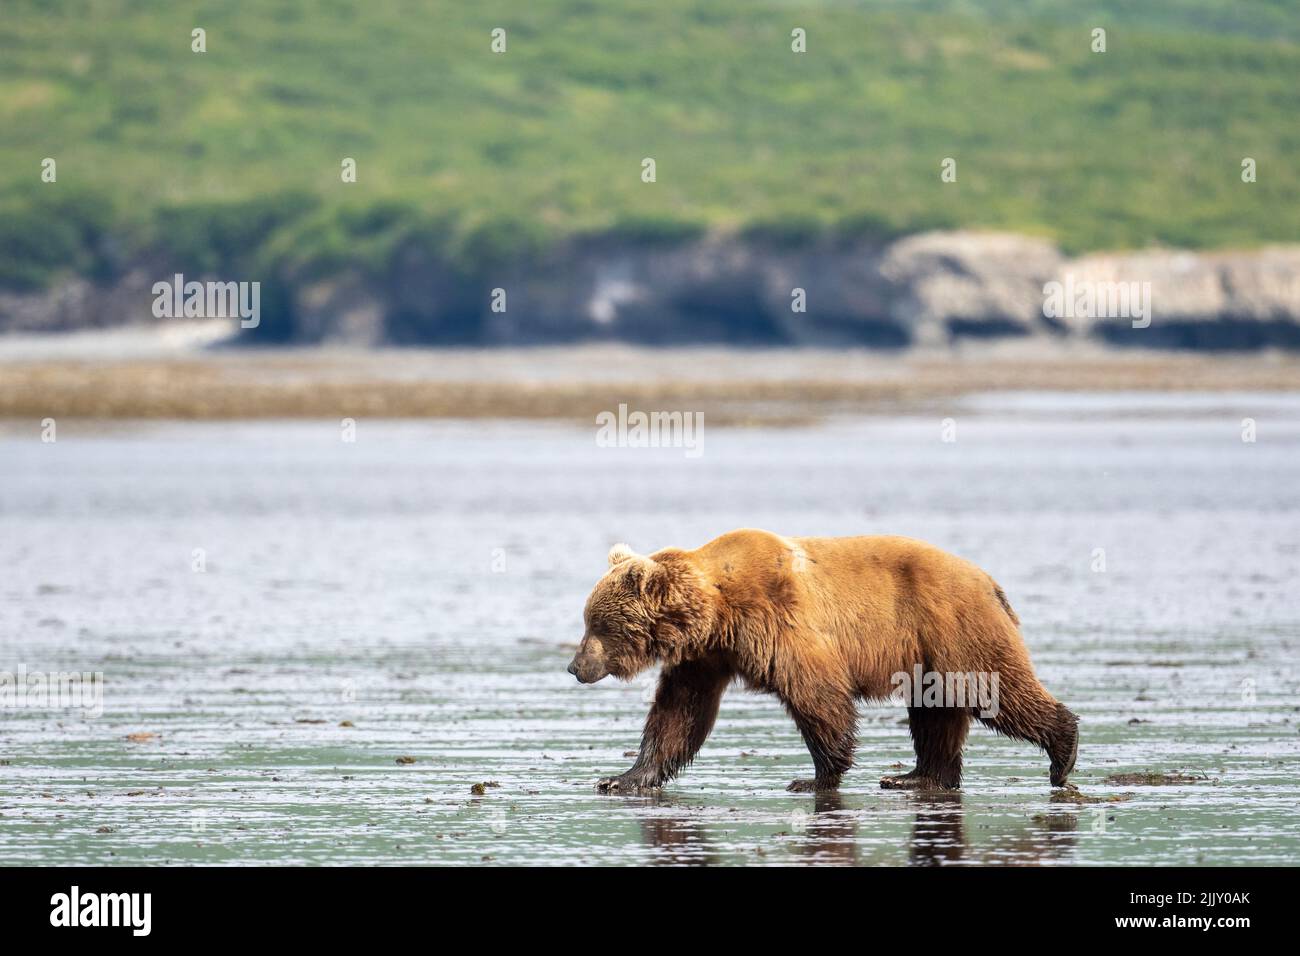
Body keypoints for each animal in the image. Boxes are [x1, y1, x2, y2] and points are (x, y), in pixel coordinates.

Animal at [567, 529, 1077, 793]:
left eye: (597, 625)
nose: (575, 667)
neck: (717, 610)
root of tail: (990, 581)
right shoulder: (707, 656)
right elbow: (678, 715)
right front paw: (622, 777)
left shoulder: (780, 622)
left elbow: (817, 696)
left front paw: (815, 777)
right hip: (928, 656)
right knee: (935, 714)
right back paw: (917, 776)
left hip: (955, 629)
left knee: (995, 690)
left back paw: (1063, 751)